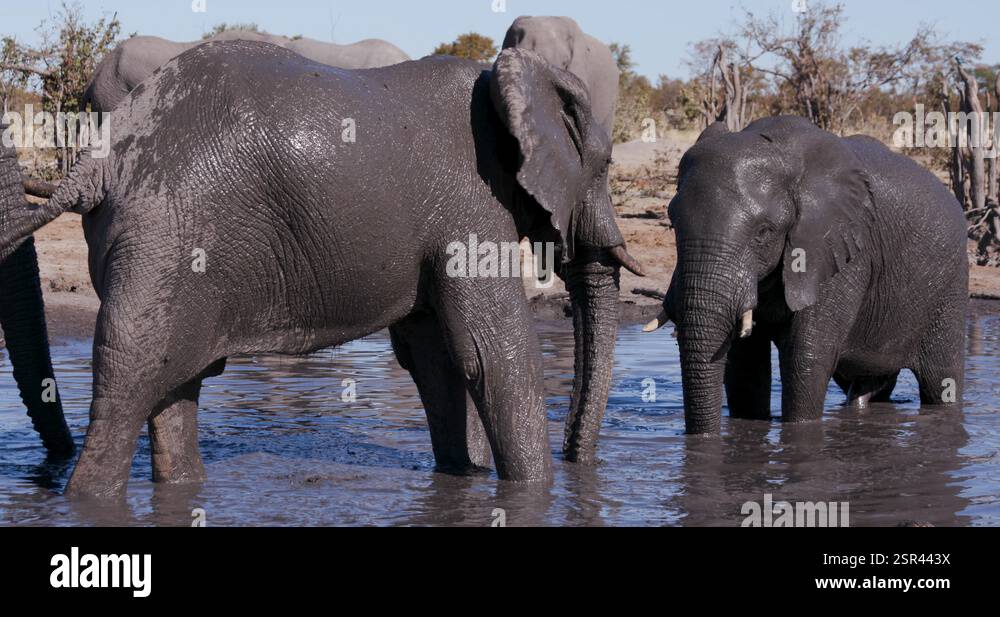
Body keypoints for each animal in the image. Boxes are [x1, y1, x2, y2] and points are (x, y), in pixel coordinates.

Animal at [0, 40, 644, 499]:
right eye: (605, 164)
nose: (580, 460)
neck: (504, 77)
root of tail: (98, 164)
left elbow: (436, 359)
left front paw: (465, 480)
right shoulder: (473, 204)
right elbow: (492, 354)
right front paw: (534, 492)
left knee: (174, 384)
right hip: (167, 235)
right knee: (131, 380)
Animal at [645, 117, 968, 434]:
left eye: (764, 232)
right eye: (672, 222)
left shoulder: (840, 250)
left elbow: (807, 356)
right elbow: (744, 363)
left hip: (949, 288)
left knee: (941, 382)